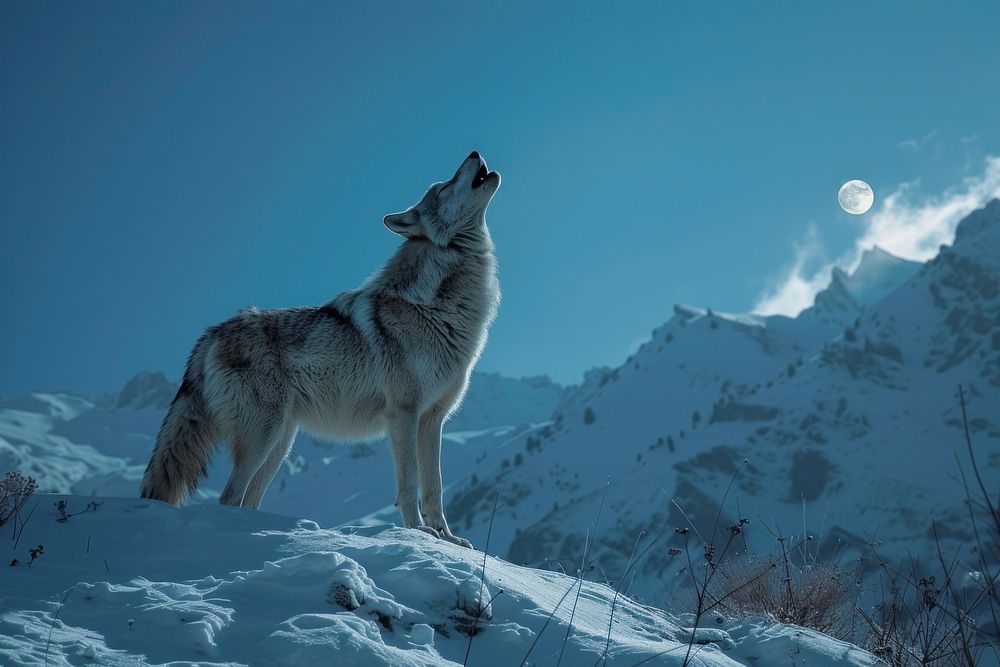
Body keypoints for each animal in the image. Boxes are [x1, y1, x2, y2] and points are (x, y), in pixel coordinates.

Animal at [140, 151, 501, 547]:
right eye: (444, 186)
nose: (473, 153)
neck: (437, 305)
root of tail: (214, 331)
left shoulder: (433, 420)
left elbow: (434, 488)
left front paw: (447, 539)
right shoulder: (403, 414)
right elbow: (409, 484)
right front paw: (418, 533)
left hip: (280, 445)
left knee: (247, 500)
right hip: (263, 439)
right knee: (229, 497)